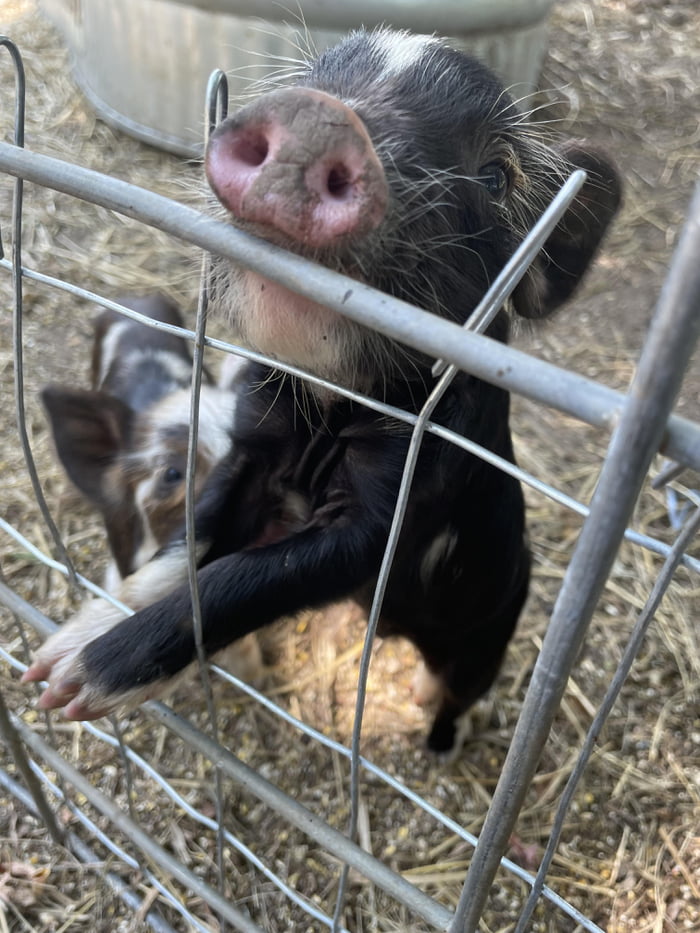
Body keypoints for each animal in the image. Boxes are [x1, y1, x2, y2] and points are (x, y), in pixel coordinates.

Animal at [25, 29, 621, 753]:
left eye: (496, 176)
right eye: (315, 78)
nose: (317, 116)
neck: (326, 413)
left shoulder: (396, 509)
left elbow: (238, 580)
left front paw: (73, 686)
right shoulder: (251, 447)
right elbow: (189, 542)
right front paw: (50, 659)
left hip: (489, 630)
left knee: (460, 689)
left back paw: (437, 736)